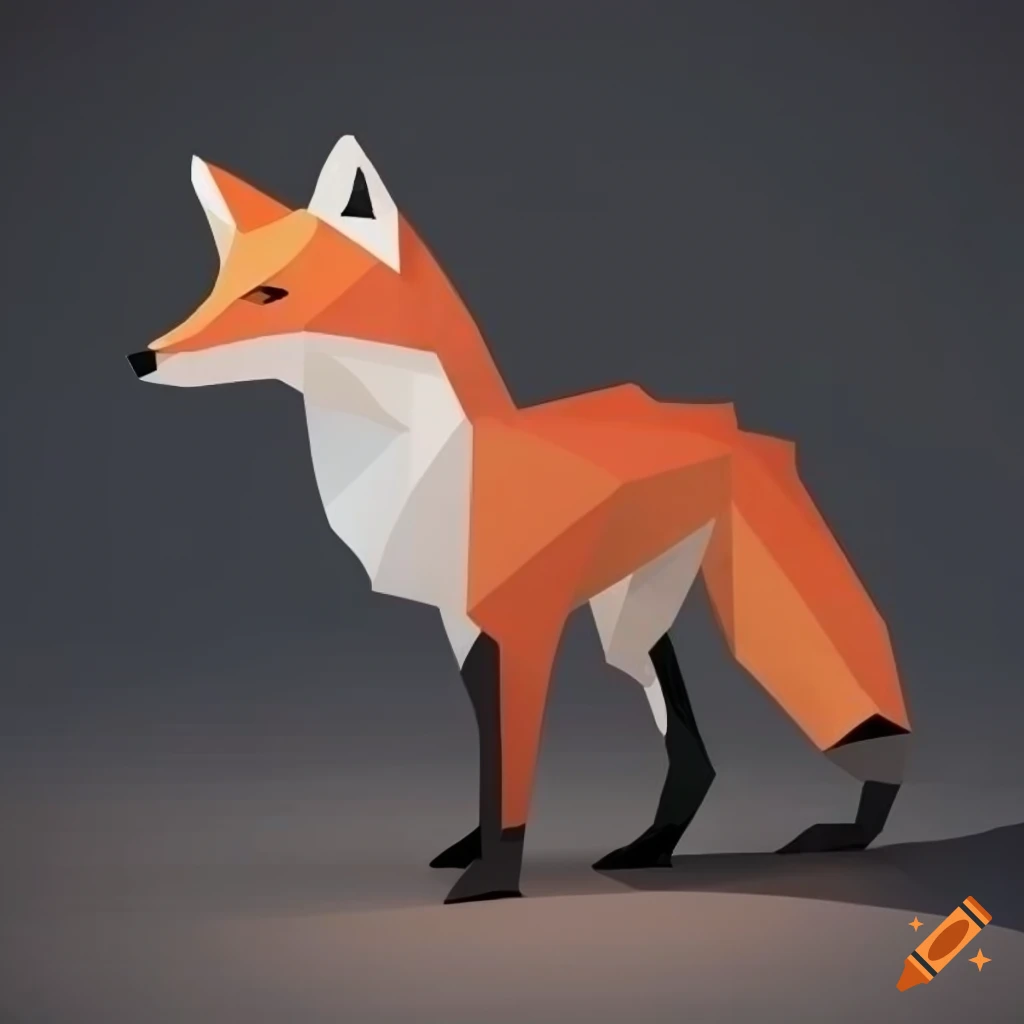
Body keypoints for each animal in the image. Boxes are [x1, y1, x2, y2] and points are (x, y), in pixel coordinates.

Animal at [127, 134, 911, 905]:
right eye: (214, 290)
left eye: (270, 294)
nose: (141, 357)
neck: (436, 468)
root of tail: (739, 428)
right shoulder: (465, 627)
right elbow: (488, 758)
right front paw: (473, 852)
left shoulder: (523, 628)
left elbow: (509, 775)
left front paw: (492, 881)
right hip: (629, 627)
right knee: (697, 760)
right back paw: (651, 850)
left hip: (707, 629)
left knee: (863, 731)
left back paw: (845, 835)